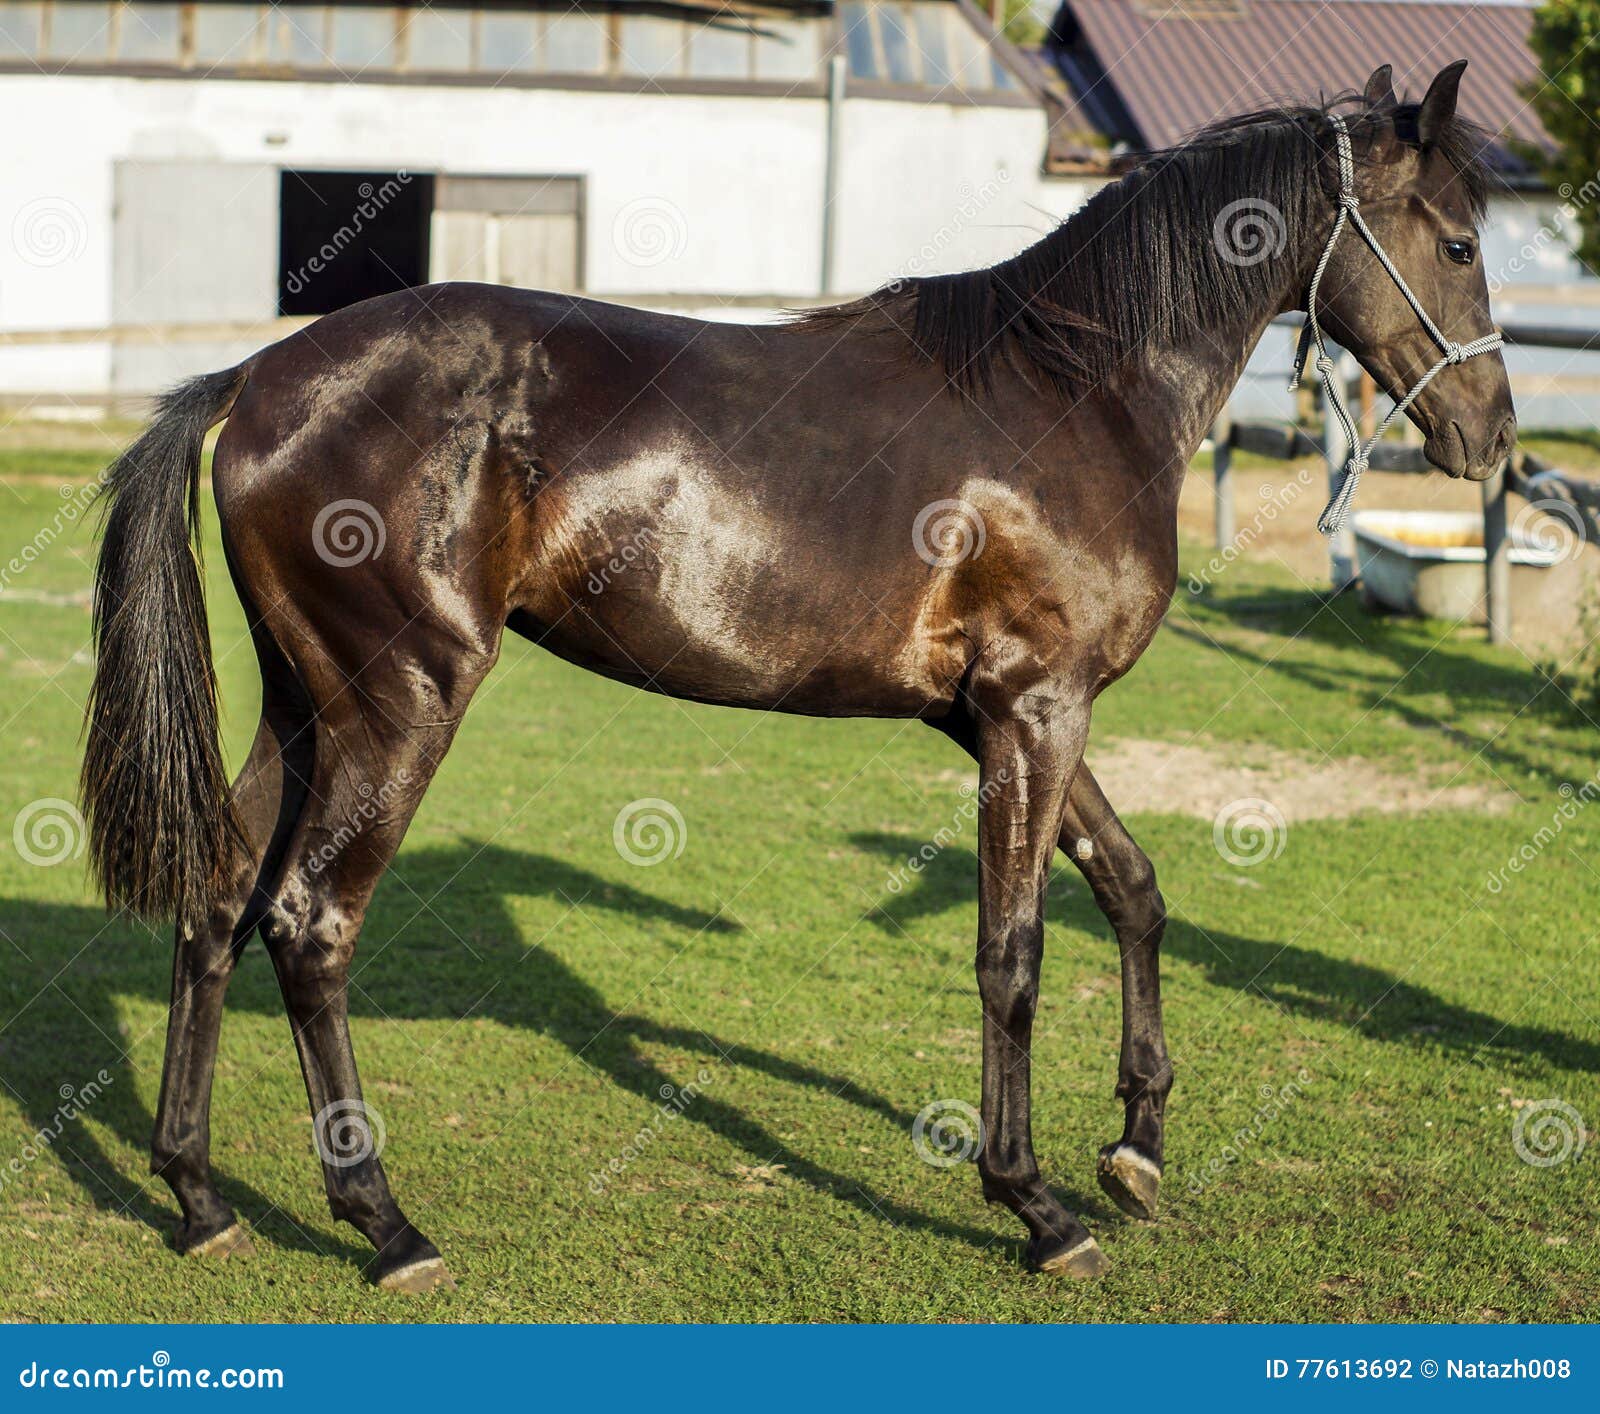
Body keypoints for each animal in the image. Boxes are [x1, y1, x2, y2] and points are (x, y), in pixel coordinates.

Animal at [80, 61, 1514, 1292]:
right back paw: (382, 1220)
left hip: (306, 709)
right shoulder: (1033, 712)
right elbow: (1013, 950)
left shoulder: (1005, 715)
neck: (1078, 387)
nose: (1490, 435)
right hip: (402, 706)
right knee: (309, 924)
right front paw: (1034, 1203)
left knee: (218, 900)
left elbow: (1134, 888)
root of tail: (259, 379)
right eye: (1458, 244)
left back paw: (197, 1195)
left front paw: (1138, 1146)